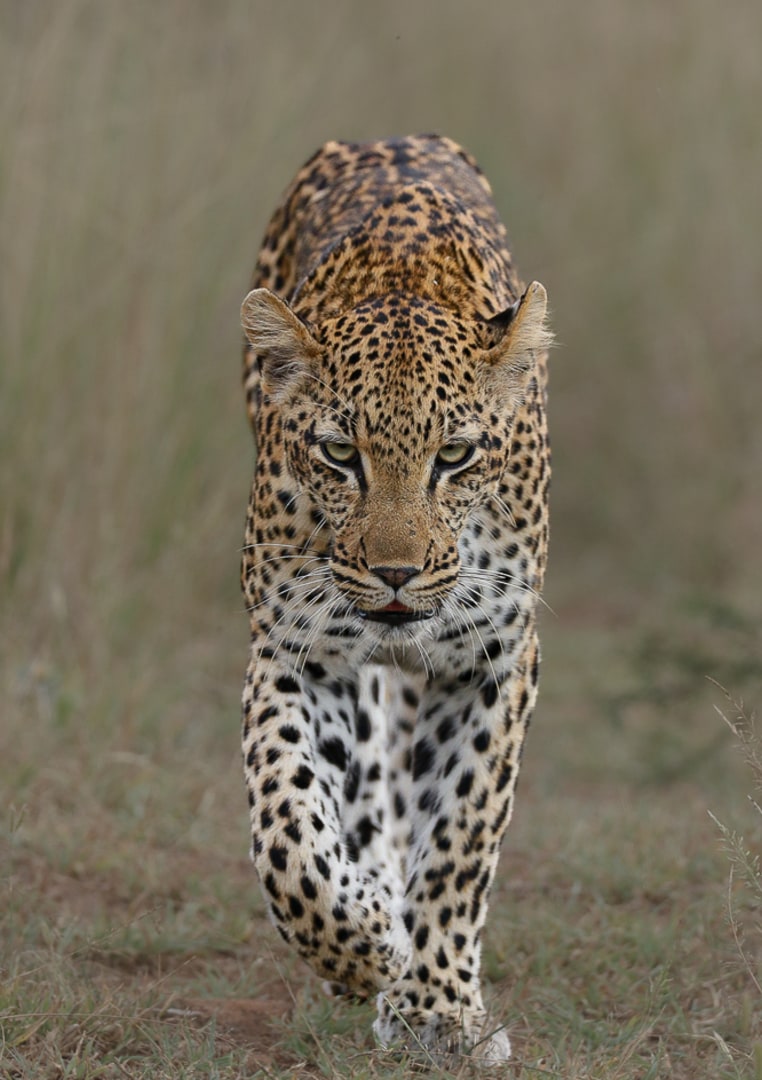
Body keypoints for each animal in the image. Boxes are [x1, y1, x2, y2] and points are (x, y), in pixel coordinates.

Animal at [239, 134, 552, 1062]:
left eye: (455, 455)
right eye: (340, 453)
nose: (396, 574)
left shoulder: (493, 662)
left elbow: (461, 836)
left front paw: (438, 1009)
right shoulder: (301, 649)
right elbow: (287, 819)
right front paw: (360, 944)